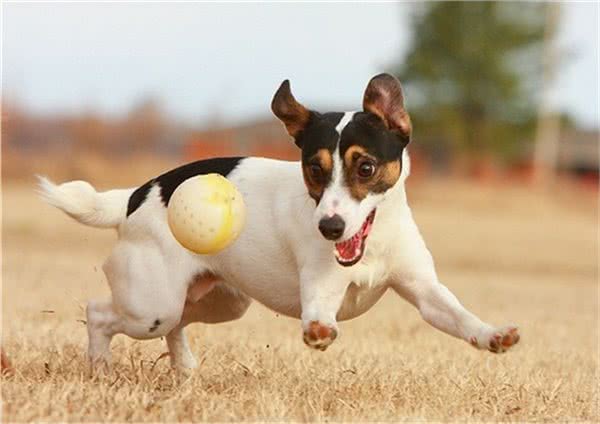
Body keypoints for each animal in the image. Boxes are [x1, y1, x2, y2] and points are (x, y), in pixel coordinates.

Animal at [37, 73, 516, 372]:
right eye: (314, 169)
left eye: (365, 167)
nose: (330, 228)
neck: (372, 241)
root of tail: (136, 194)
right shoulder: (320, 289)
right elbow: (319, 316)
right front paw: (320, 333)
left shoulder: (425, 291)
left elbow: (459, 317)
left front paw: (493, 335)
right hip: (151, 305)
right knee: (100, 313)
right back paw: (100, 368)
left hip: (219, 301)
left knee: (176, 325)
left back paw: (184, 369)